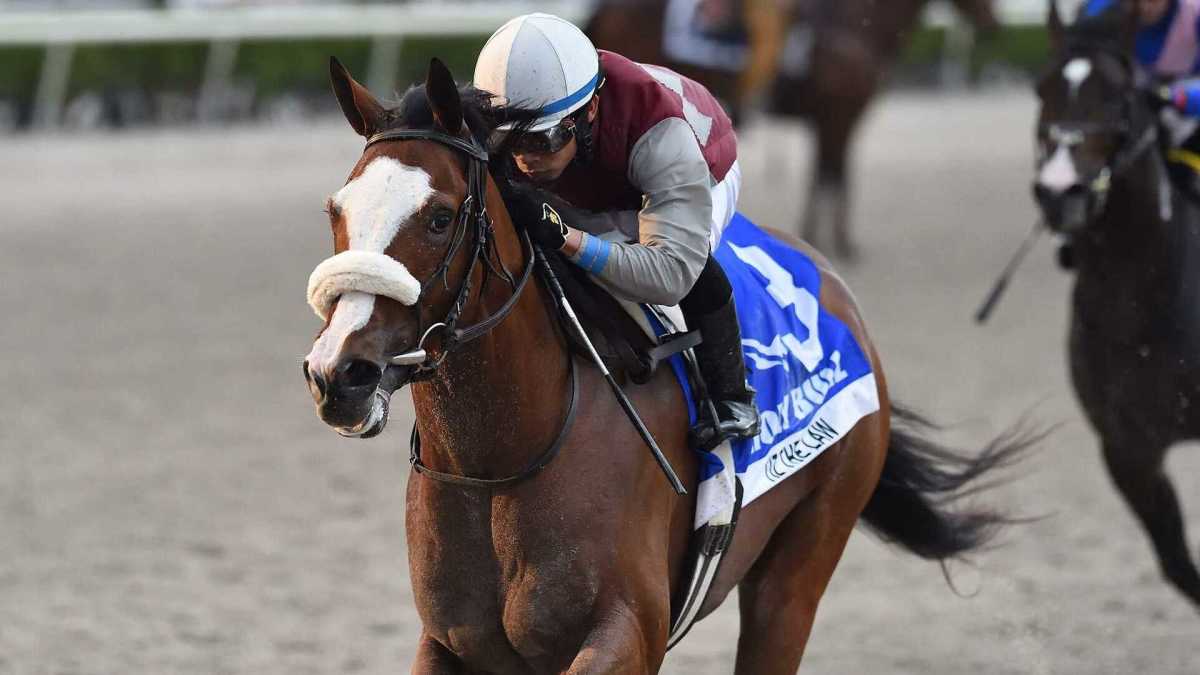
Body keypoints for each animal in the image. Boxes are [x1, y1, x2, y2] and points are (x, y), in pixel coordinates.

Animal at [301, 56, 1030, 672]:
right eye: (335, 209)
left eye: (440, 216)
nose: (339, 373)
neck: (500, 462)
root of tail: (833, 283)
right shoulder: (451, 643)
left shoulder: (629, 631)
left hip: (799, 567)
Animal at [587, 0, 999, 260]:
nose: (993, 23)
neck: (850, 27)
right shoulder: (841, 114)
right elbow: (834, 173)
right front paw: (840, 240)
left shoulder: (832, 118)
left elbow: (825, 173)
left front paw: (819, 234)